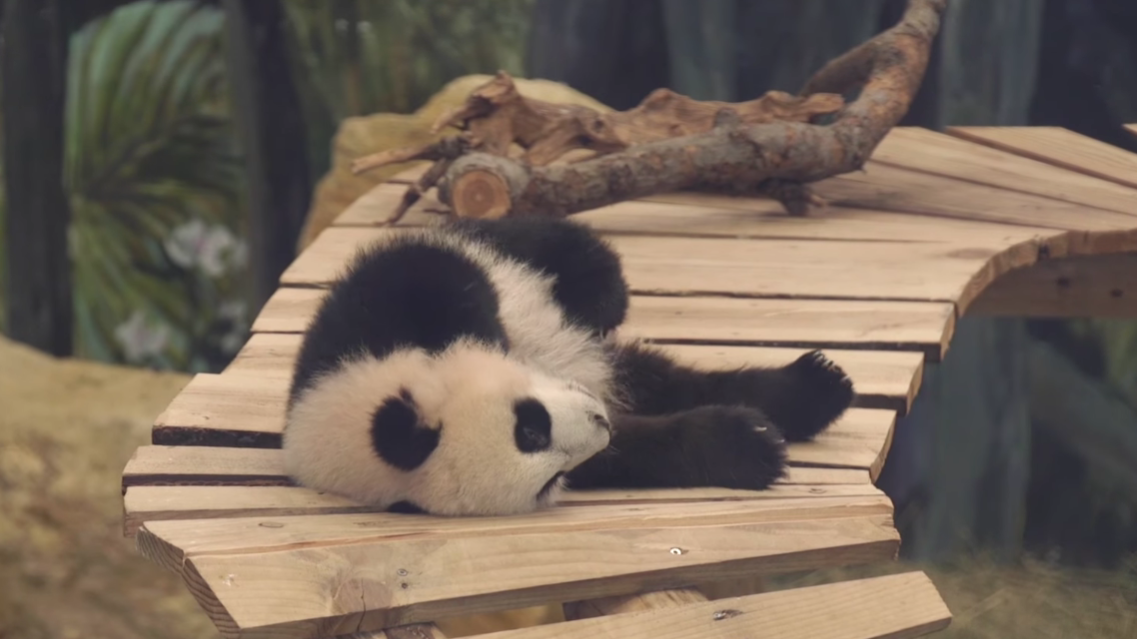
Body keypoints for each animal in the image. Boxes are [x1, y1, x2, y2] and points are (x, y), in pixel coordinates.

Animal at [282, 216, 855, 517]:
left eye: (529, 426)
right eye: (547, 474)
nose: (600, 422)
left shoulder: (350, 328)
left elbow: (433, 275)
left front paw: (487, 339)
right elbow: (636, 451)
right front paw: (749, 446)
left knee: (559, 254)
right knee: (673, 383)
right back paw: (795, 406)